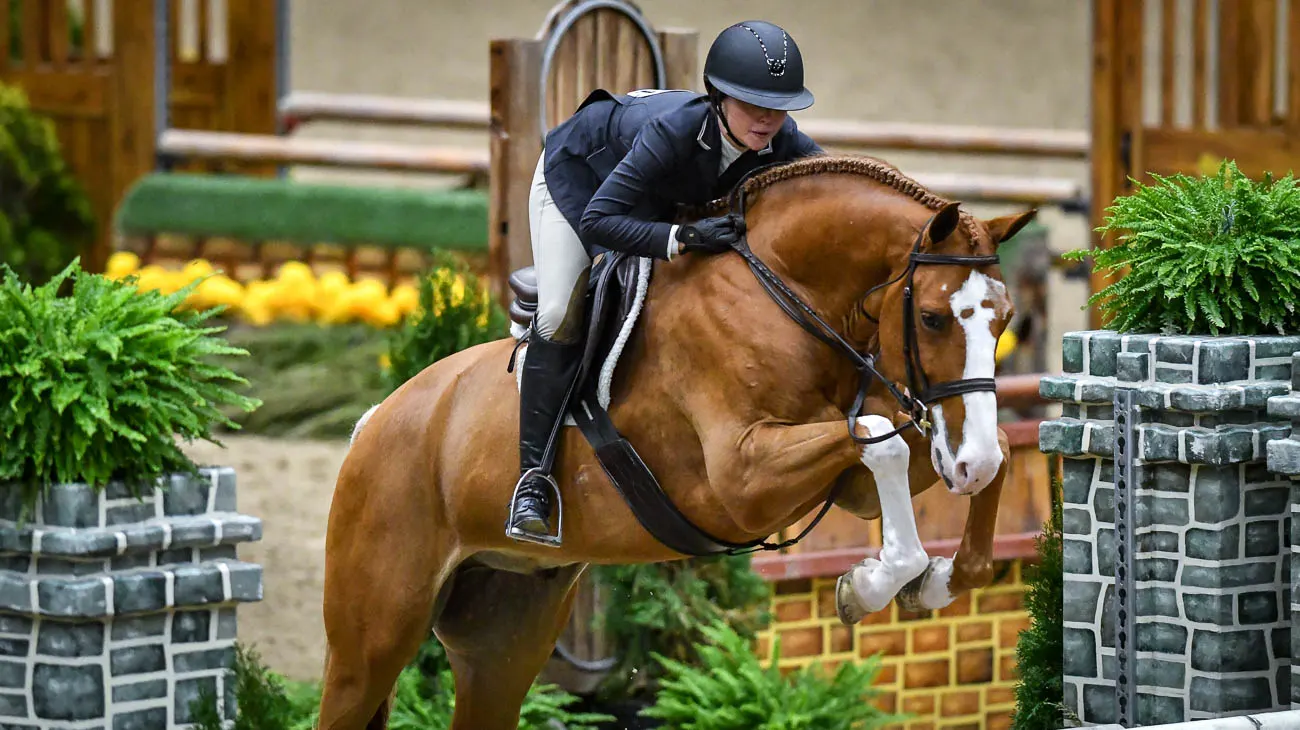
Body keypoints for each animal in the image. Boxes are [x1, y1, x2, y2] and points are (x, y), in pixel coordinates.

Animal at [315, 154, 1034, 729]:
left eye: (1004, 318)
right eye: (932, 317)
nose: (965, 466)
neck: (786, 295)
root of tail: (375, 422)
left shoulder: (851, 476)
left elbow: (974, 448)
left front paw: (933, 582)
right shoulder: (742, 480)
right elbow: (882, 439)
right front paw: (867, 585)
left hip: (503, 634)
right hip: (371, 640)